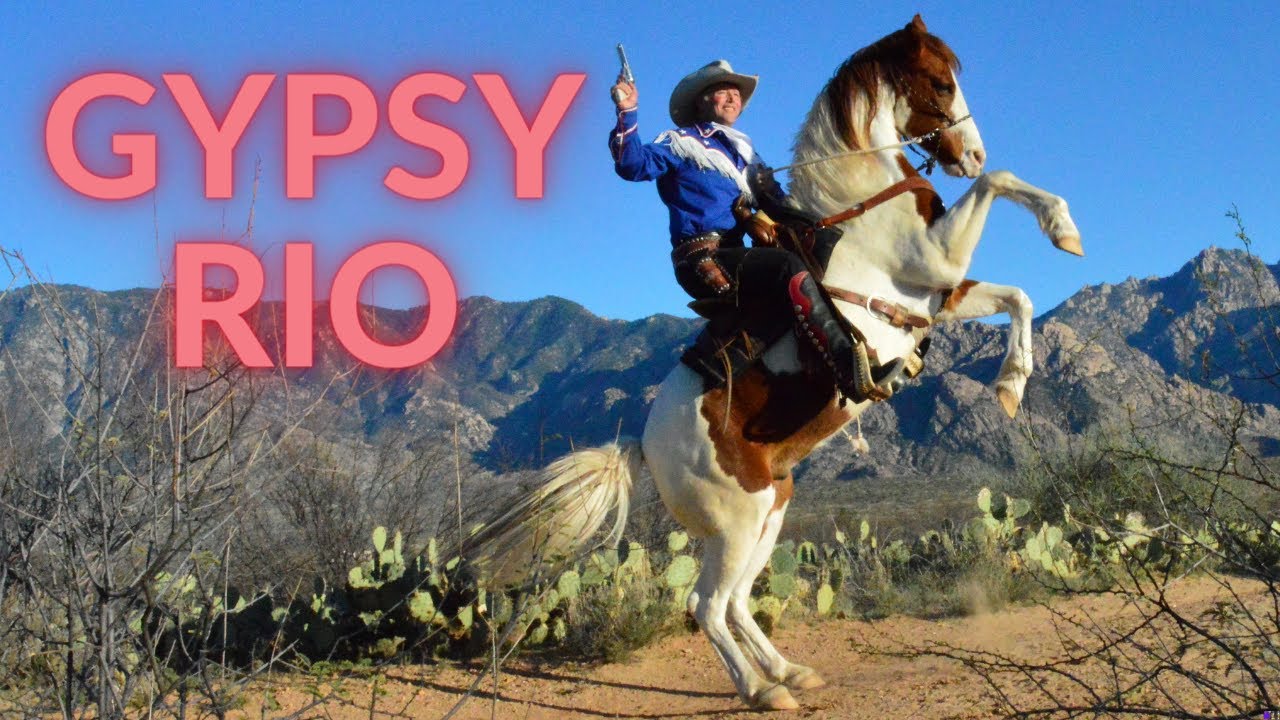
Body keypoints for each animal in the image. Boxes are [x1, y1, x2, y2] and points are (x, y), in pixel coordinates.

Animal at [468, 15, 1081, 711]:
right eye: (940, 81)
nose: (970, 153)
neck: (861, 200)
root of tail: (645, 446)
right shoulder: (937, 259)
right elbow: (999, 183)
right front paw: (1062, 228)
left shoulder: (939, 292)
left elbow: (1018, 295)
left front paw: (1011, 384)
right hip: (737, 523)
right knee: (705, 605)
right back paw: (761, 690)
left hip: (770, 508)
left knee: (735, 601)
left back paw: (788, 672)